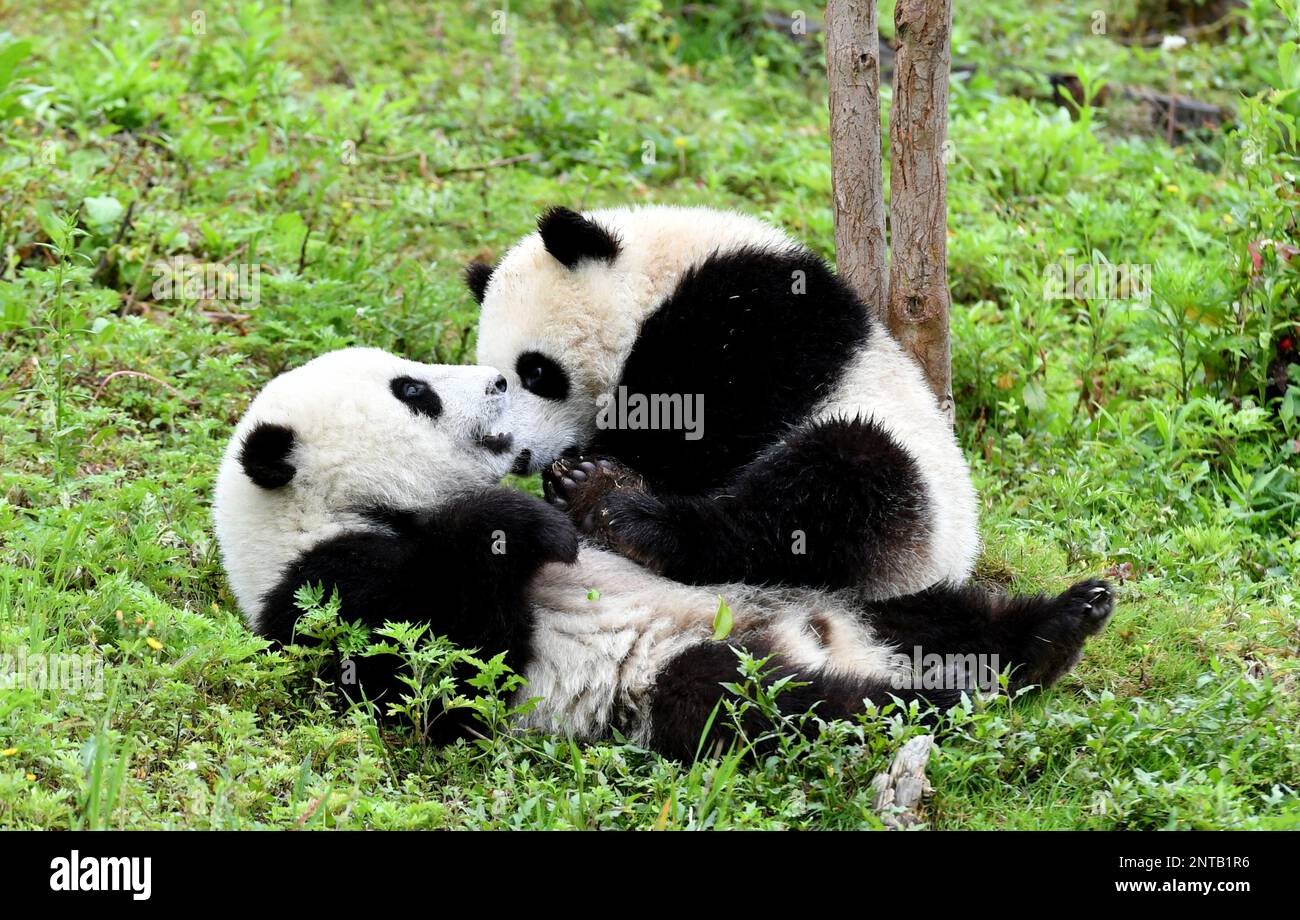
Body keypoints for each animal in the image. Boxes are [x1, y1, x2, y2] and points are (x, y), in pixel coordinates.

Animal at [213, 348, 1114, 759]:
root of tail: (830, 639)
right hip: (679, 674)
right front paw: (524, 526)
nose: (498, 382)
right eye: (416, 392)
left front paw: (582, 492)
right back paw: (937, 702)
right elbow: (444, 672)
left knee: (942, 619)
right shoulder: (326, 590)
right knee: (768, 703)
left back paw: (1057, 629)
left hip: (837, 593)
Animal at [469, 205, 979, 599]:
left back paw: (626, 512)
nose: (518, 454)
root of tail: (941, 572)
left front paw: (604, 462)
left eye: (536, 372)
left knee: (827, 489)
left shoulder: (764, 313)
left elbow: (713, 419)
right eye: (498, 384)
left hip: (910, 487)